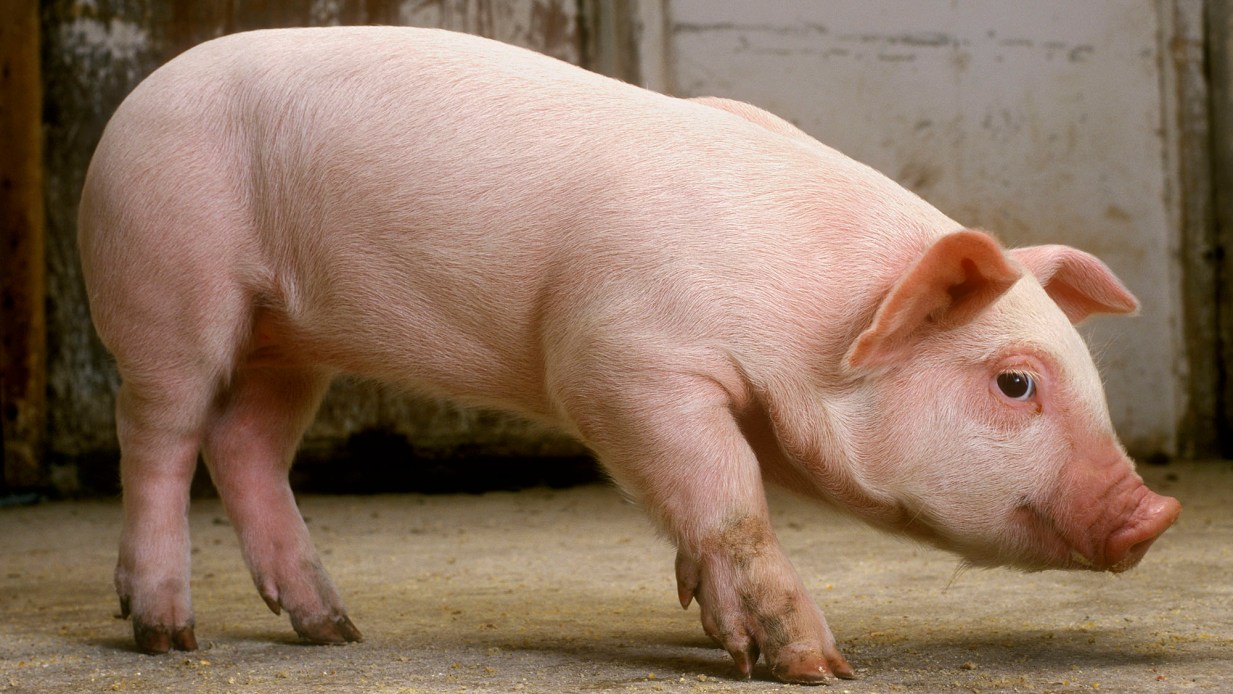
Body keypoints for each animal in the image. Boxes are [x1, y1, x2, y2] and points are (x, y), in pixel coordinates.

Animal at [78, 26, 1180, 684]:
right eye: (1014, 382)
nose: (1155, 510)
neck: (807, 324)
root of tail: (134, 101)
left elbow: (704, 510)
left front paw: (718, 626)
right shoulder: (621, 360)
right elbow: (731, 500)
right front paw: (818, 666)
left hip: (290, 335)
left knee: (246, 443)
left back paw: (334, 629)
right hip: (169, 285)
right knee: (159, 434)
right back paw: (167, 633)